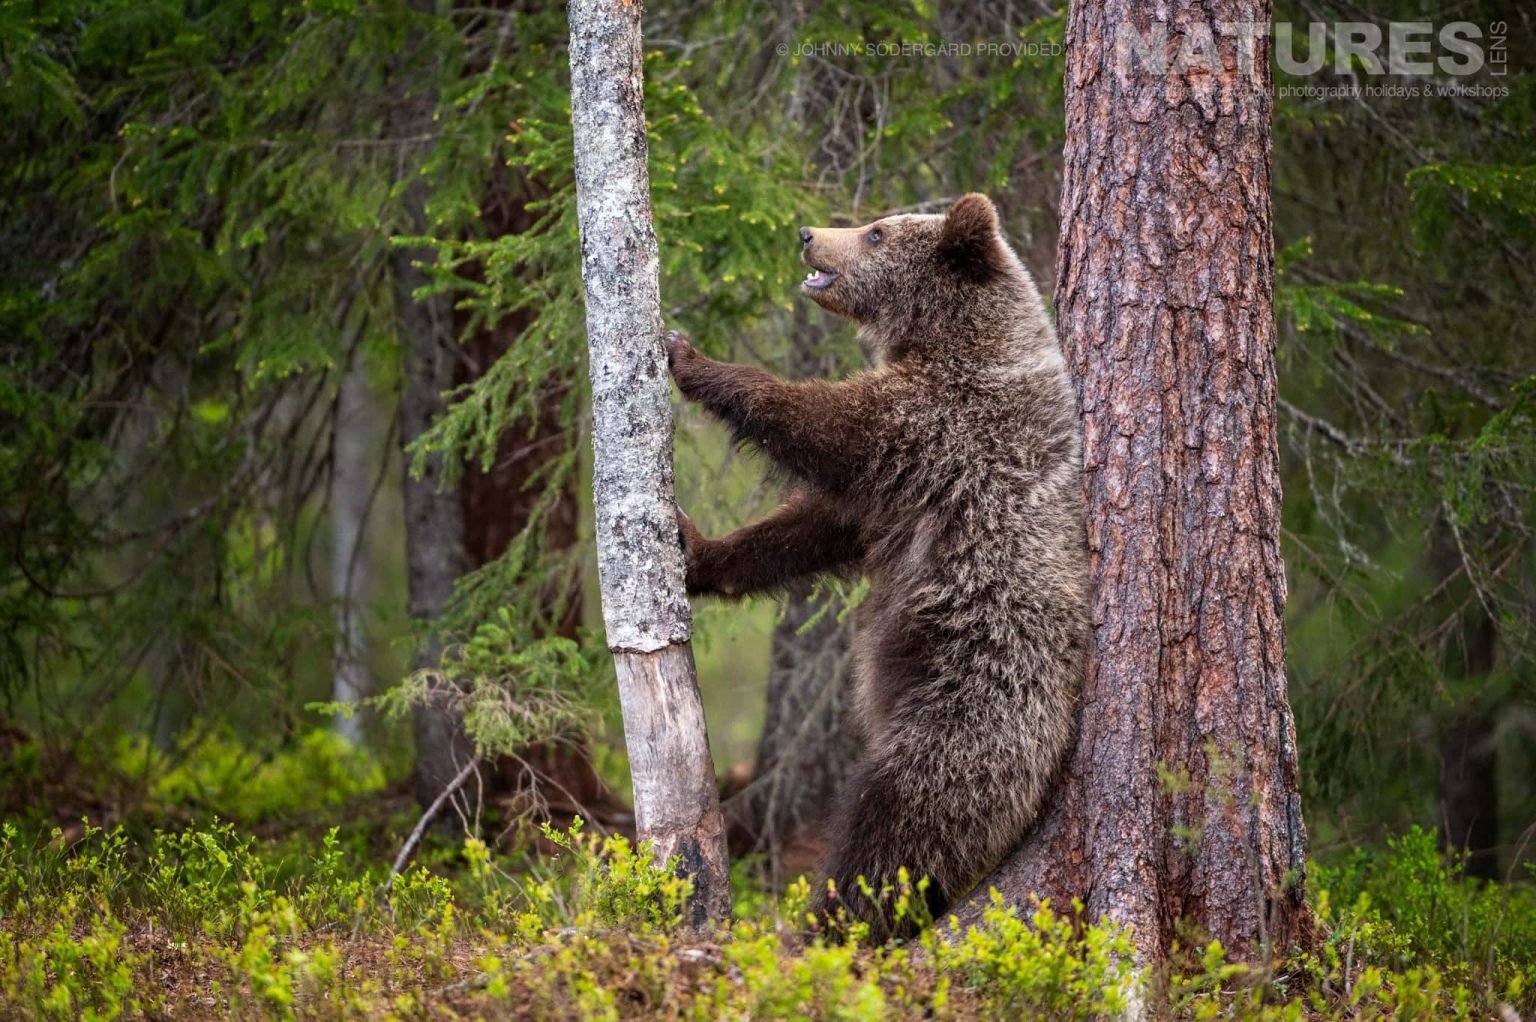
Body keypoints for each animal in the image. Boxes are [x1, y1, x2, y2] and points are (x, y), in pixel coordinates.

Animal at [665, 193, 1088, 941]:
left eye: (877, 232)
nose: (808, 234)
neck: (948, 337)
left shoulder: (946, 424)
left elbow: (830, 425)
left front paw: (693, 359)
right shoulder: (891, 496)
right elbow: (811, 528)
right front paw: (698, 553)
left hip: (973, 694)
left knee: (904, 815)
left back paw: (828, 924)